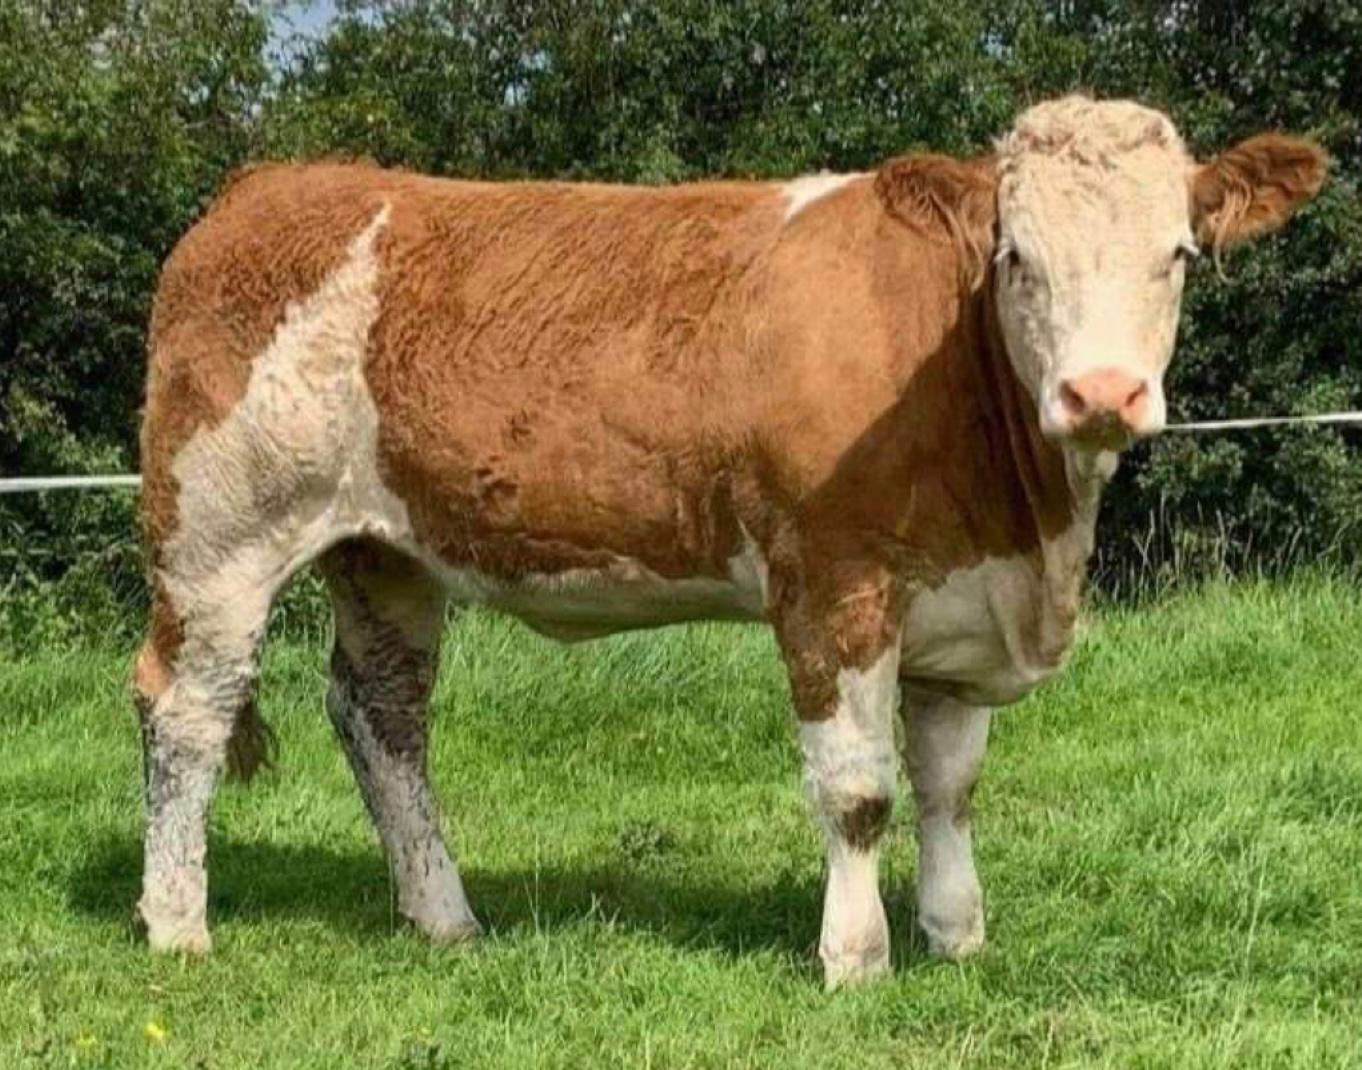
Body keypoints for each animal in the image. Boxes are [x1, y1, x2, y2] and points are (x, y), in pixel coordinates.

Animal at [132, 96, 1325, 986]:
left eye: (1178, 253)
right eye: (1016, 255)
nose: (1102, 394)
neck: (1025, 524)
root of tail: (273, 184)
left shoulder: (961, 606)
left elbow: (949, 786)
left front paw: (955, 932)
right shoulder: (832, 583)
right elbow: (859, 790)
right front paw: (855, 957)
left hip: (387, 554)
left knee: (381, 715)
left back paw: (444, 916)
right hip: (219, 535)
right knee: (186, 709)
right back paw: (176, 924)